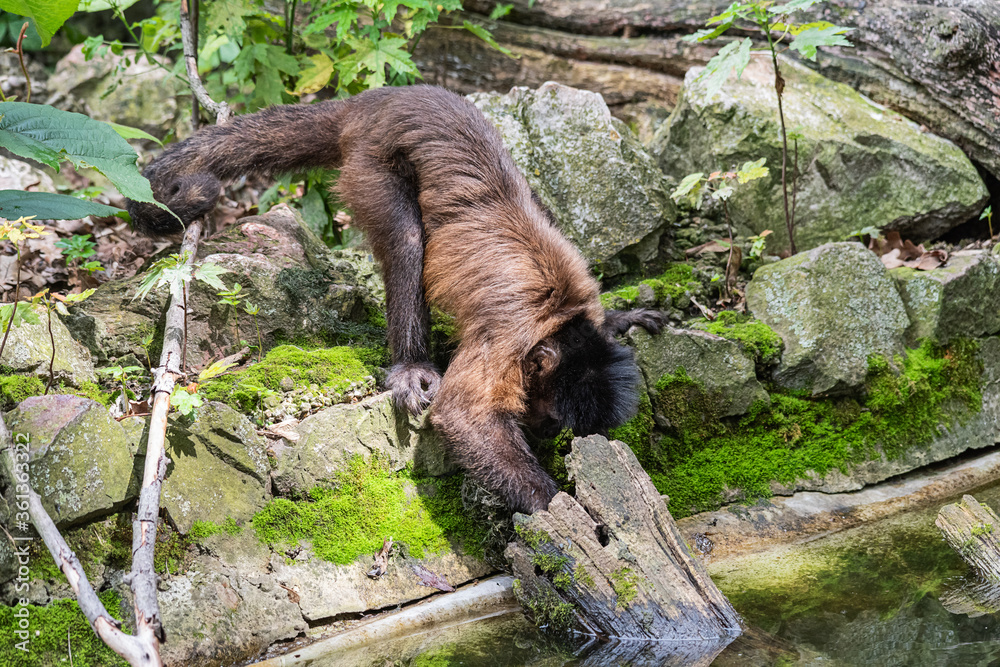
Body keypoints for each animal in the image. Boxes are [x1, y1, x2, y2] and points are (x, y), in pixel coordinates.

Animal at [127, 85, 664, 514]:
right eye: (550, 420)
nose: (542, 432)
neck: (562, 320)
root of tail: (376, 97)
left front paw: (622, 318)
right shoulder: (512, 335)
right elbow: (462, 416)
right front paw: (574, 517)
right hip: (370, 159)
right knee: (407, 240)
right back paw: (411, 364)